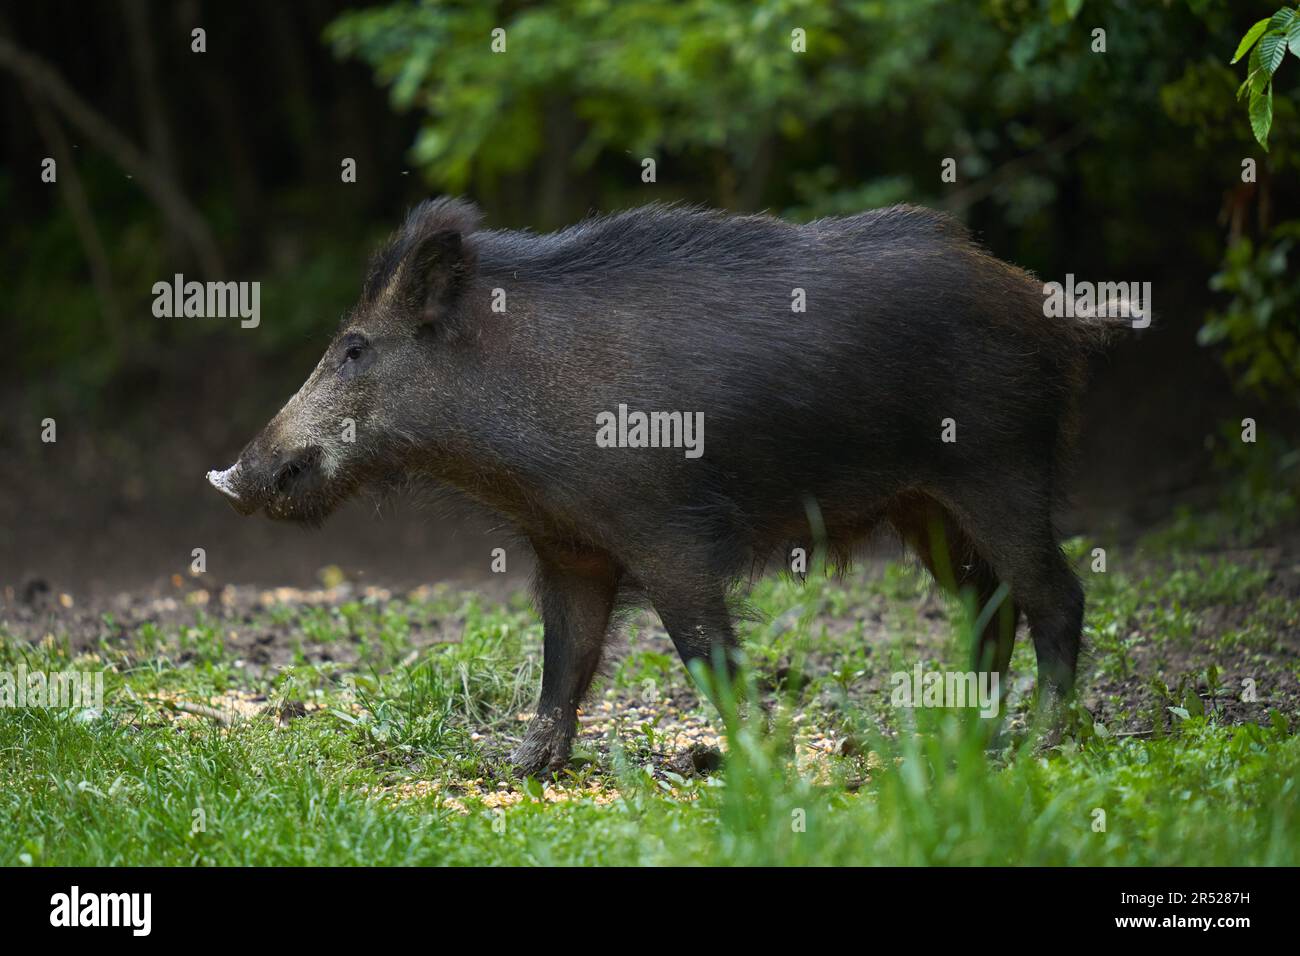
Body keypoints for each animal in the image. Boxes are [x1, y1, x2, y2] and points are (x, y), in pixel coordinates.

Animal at [209, 198, 1120, 774]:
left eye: (355, 348)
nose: (232, 477)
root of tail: (1050, 307)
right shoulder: (569, 547)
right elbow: (565, 659)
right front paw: (519, 769)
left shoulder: (668, 536)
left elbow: (706, 656)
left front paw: (753, 761)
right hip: (927, 506)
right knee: (989, 608)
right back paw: (964, 740)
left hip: (1003, 468)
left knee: (1056, 595)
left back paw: (1040, 745)